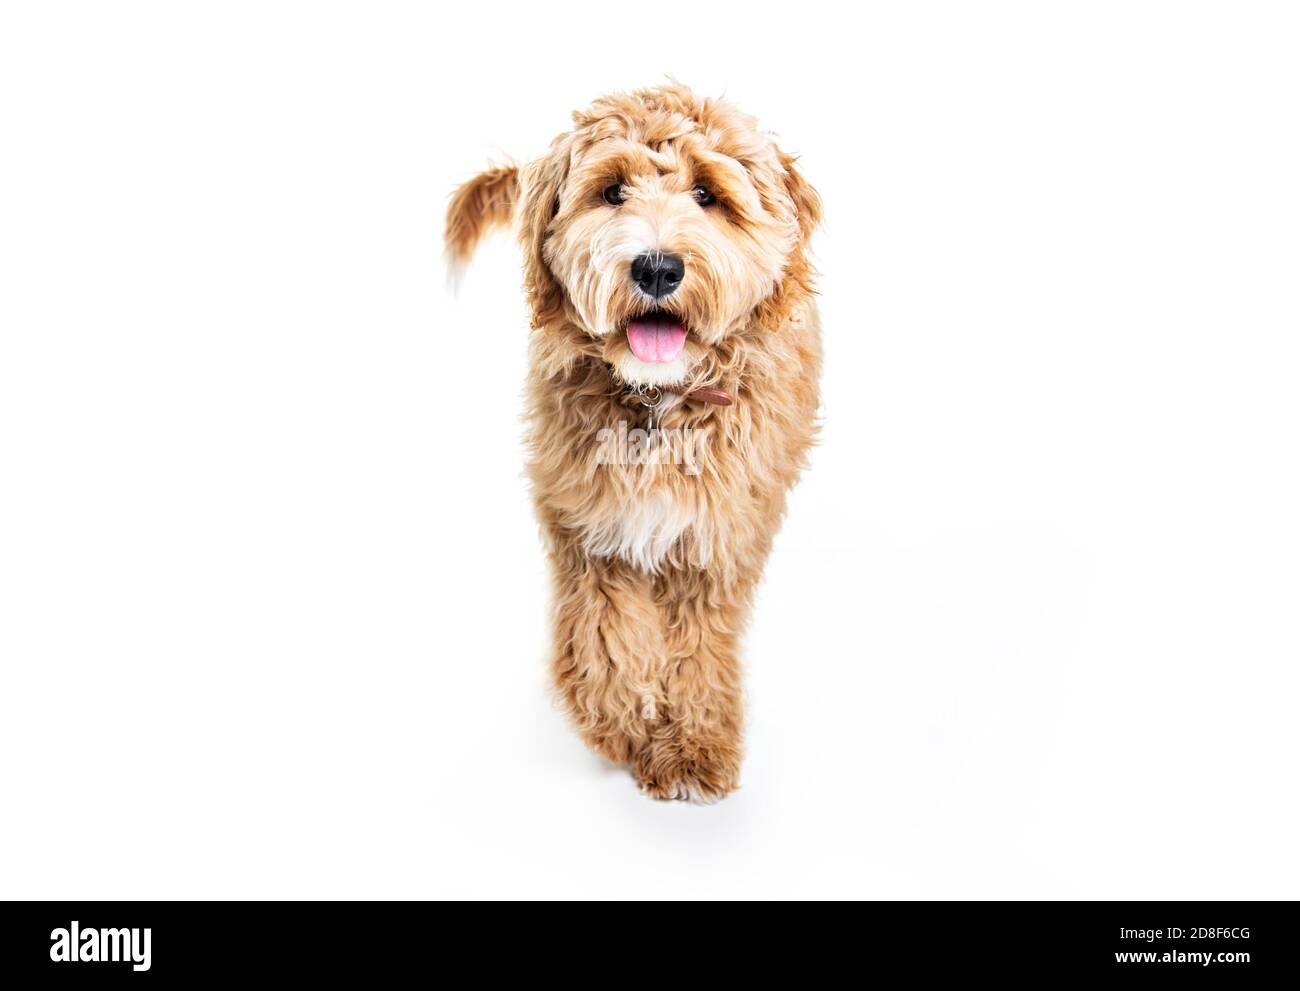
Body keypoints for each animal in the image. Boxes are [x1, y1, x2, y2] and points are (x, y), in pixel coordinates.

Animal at [441, 80, 816, 801]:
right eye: (612, 190)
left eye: (707, 194)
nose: (658, 268)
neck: (657, 402)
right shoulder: (590, 527)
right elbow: (603, 633)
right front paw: (623, 725)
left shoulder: (719, 540)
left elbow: (700, 650)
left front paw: (693, 745)